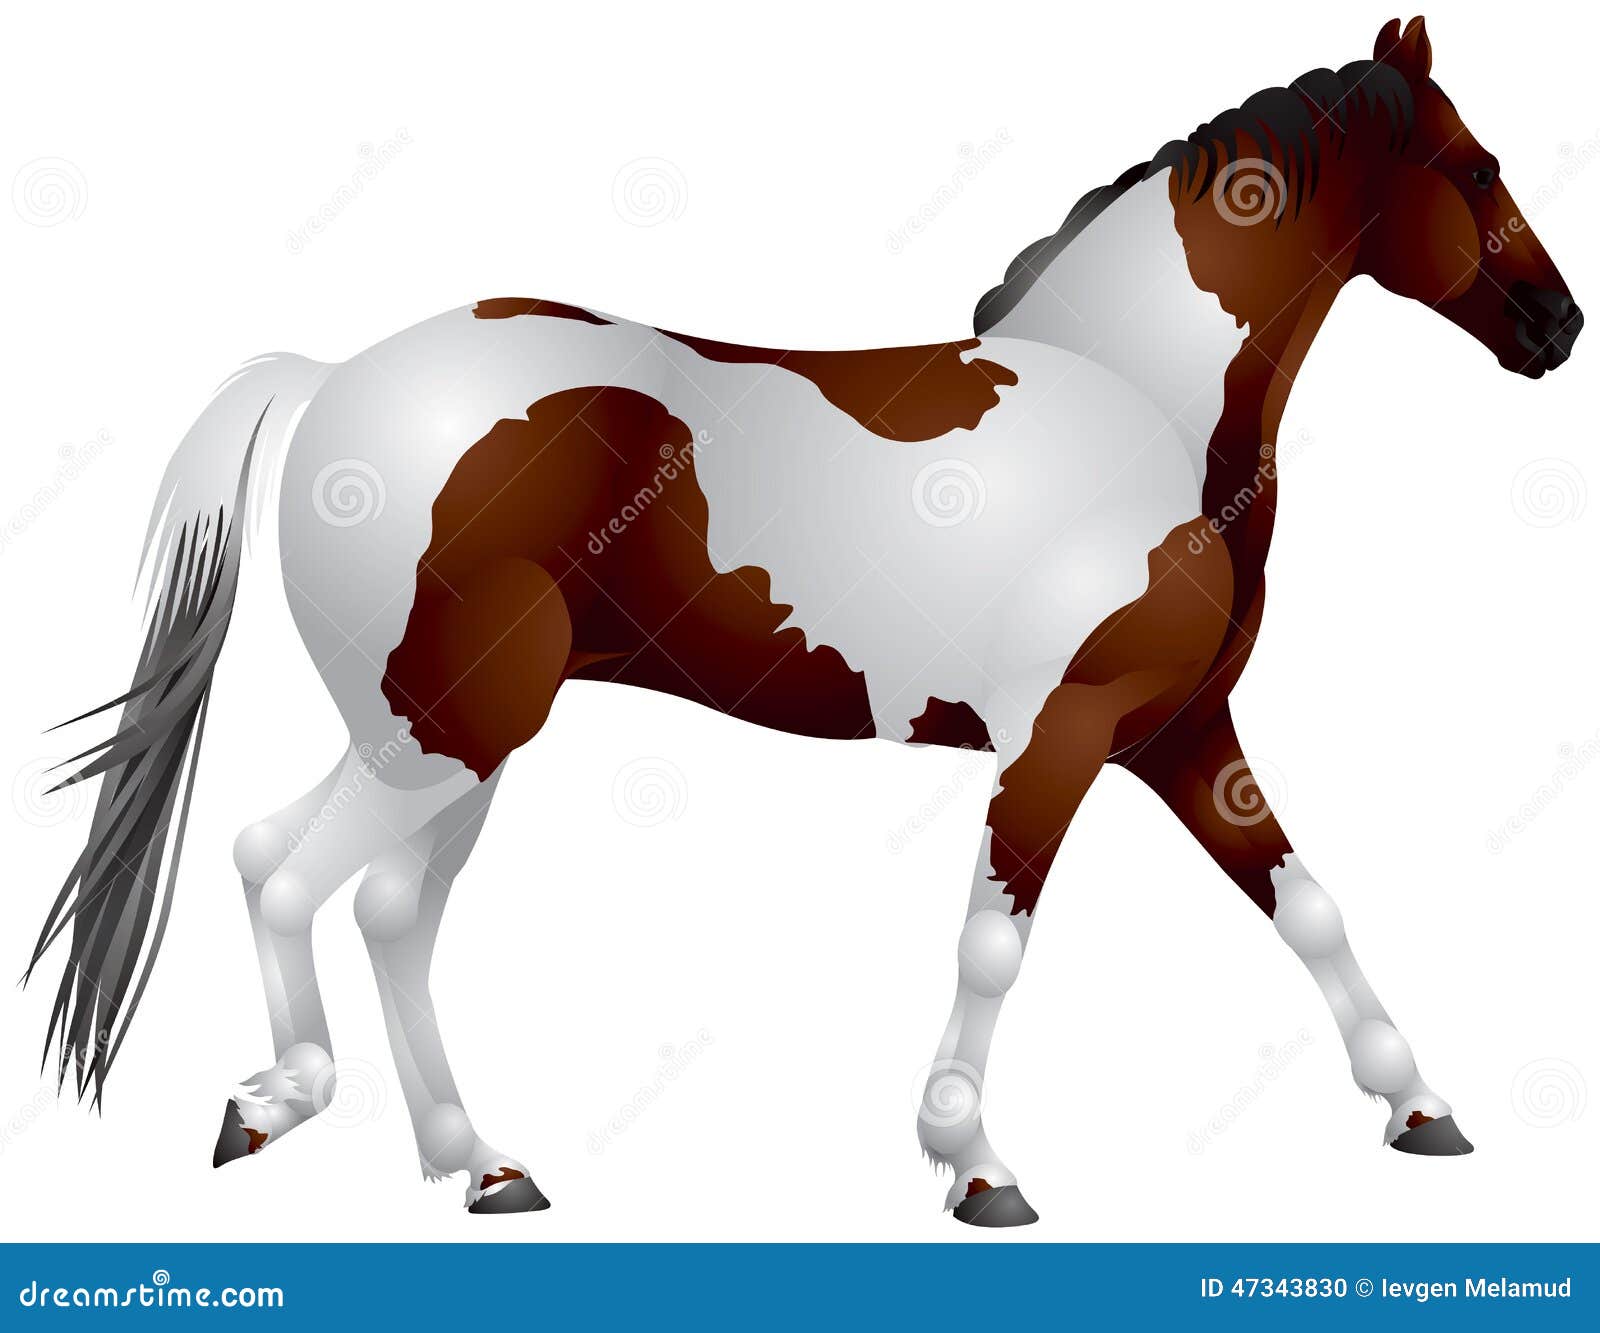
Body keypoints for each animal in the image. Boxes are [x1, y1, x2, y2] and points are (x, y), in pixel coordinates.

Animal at [31, 16, 1581, 1225]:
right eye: (1478, 168)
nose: (1558, 327)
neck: (1141, 409)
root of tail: (330, 380)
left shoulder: (1184, 731)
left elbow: (1307, 903)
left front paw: (1420, 1108)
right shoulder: (1060, 739)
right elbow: (996, 942)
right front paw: (976, 1168)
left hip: (438, 738)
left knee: (359, 897)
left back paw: (479, 1166)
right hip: (444, 729)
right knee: (299, 881)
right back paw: (280, 1108)